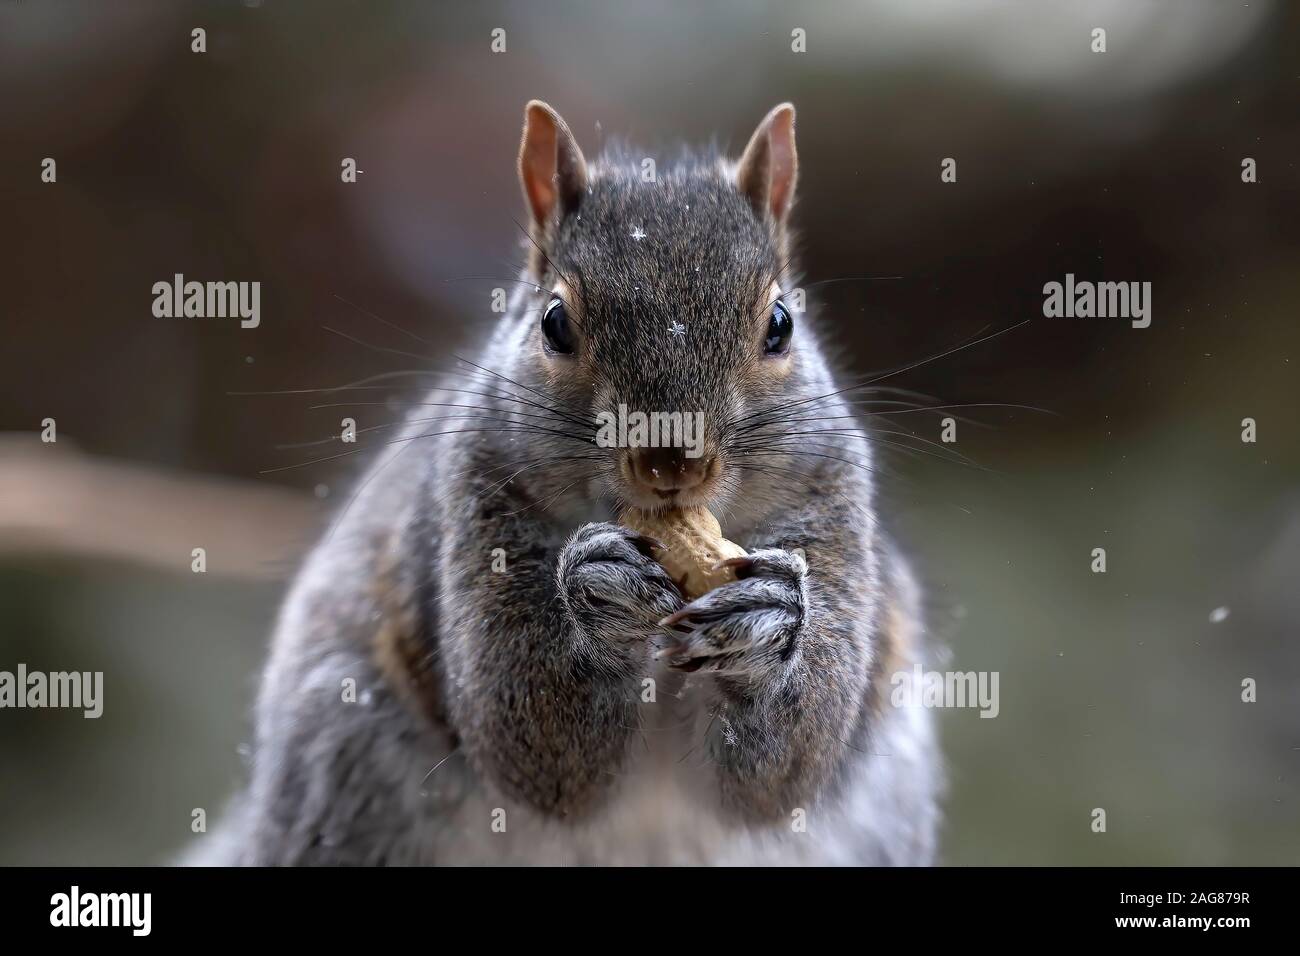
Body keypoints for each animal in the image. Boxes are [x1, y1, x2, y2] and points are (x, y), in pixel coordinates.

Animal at [197, 101, 942, 865]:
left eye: (781, 325)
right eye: (554, 323)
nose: (671, 463)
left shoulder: (831, 509)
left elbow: (784, 769)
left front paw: (770, 620)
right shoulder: (473, 503)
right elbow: (533, 738)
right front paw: (597, 588)